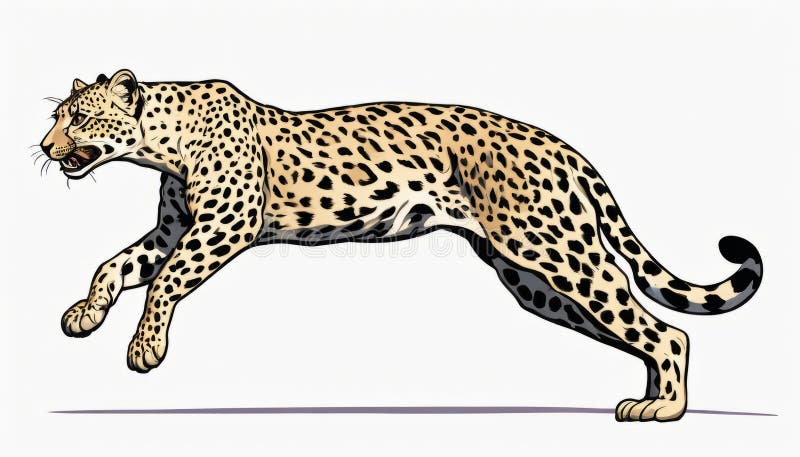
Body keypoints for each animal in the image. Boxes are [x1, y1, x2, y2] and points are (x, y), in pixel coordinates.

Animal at [40, 69, 762, 422]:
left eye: (78, 117)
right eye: (56, 116)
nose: (44, 147)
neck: (161, 143)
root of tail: (568, 150)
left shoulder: (223, 226)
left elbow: (164, 280)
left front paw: (145, 348)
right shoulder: (172, 230)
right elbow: (114, 264)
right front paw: (83, 314)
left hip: (554, 248)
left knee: (666, 330)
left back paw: (665, 408)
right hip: (534, 283)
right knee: (635, 327)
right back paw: (646, 395)